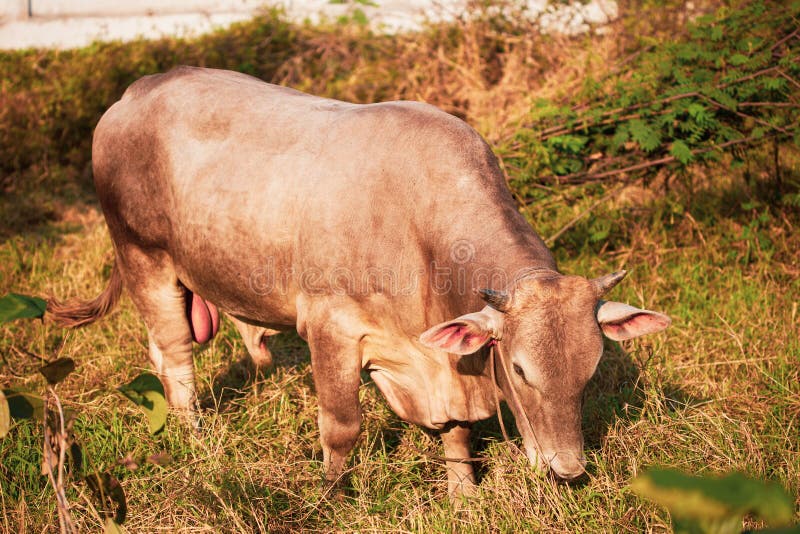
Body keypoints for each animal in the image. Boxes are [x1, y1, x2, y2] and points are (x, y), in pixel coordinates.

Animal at [49, 66, 671, 499]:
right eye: (519, 370)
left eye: (590, 370)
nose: (568, 470)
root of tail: (134, 93)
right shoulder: (332, 328)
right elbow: (342, 428)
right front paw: (330, 496)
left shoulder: (435, 357)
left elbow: (456, 433)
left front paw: (464, 496)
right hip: (144, 256)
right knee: (177, 355)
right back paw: (195, 437)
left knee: (160, 349)